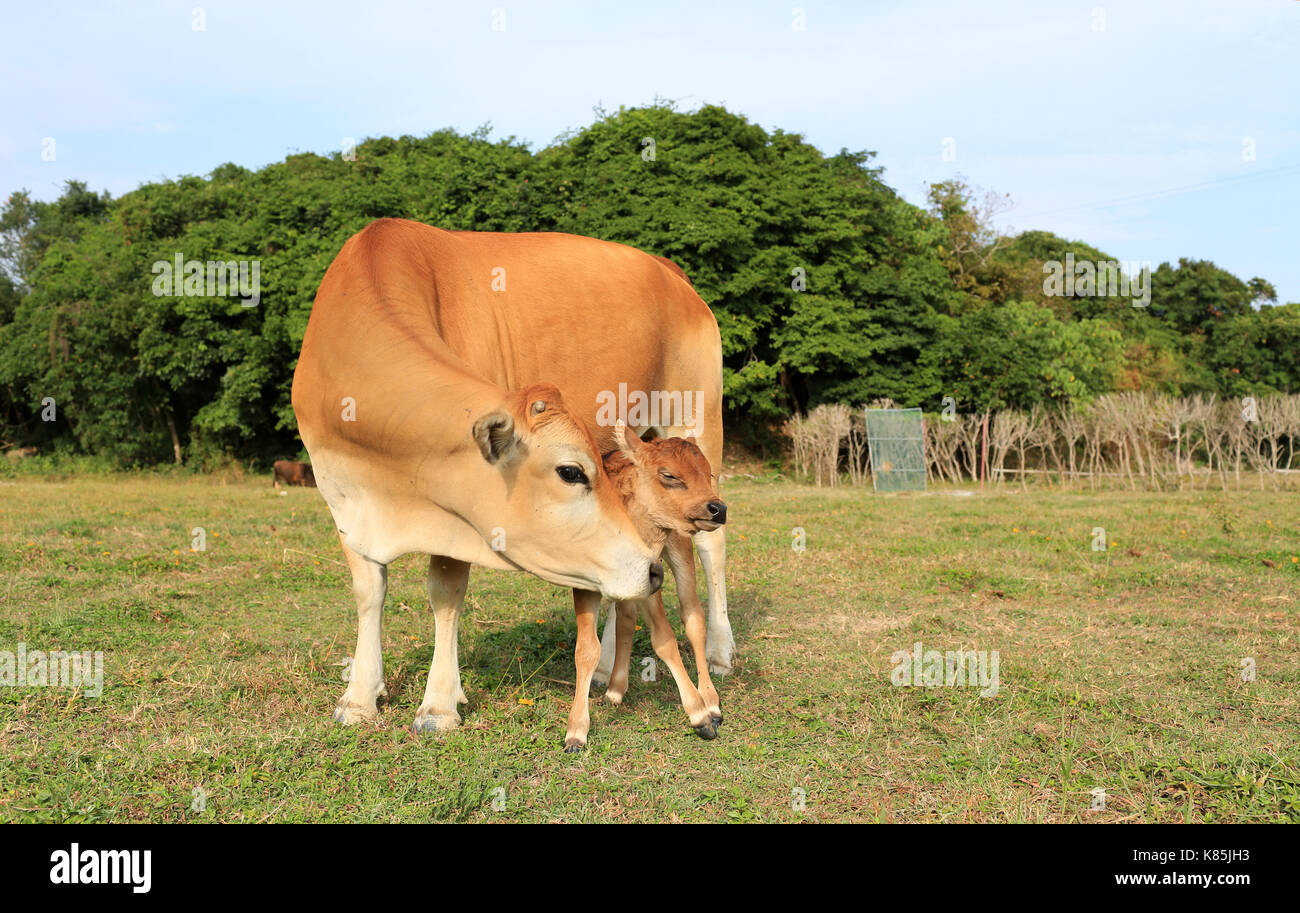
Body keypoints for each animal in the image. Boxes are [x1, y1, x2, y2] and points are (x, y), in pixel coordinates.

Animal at [292, 221, 665, 733]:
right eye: (571, 471)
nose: (652, 570)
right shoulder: (342, 496)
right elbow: (369, 592)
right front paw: (360, 698)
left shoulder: (456, 520)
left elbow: (445, 595)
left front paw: (439, 706)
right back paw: (609, 669)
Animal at [564, 422, 726, 751]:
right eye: (669, 475)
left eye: (708, 474)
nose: (718, 508)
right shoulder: (586, 582)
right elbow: (586, 648)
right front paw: (576, 730)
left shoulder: (653, 575)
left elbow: (664, 639)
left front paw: (700, 715)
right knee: (626, 620)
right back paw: (615, 690)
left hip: (679, 551)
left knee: (693, 617)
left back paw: (711, 700)